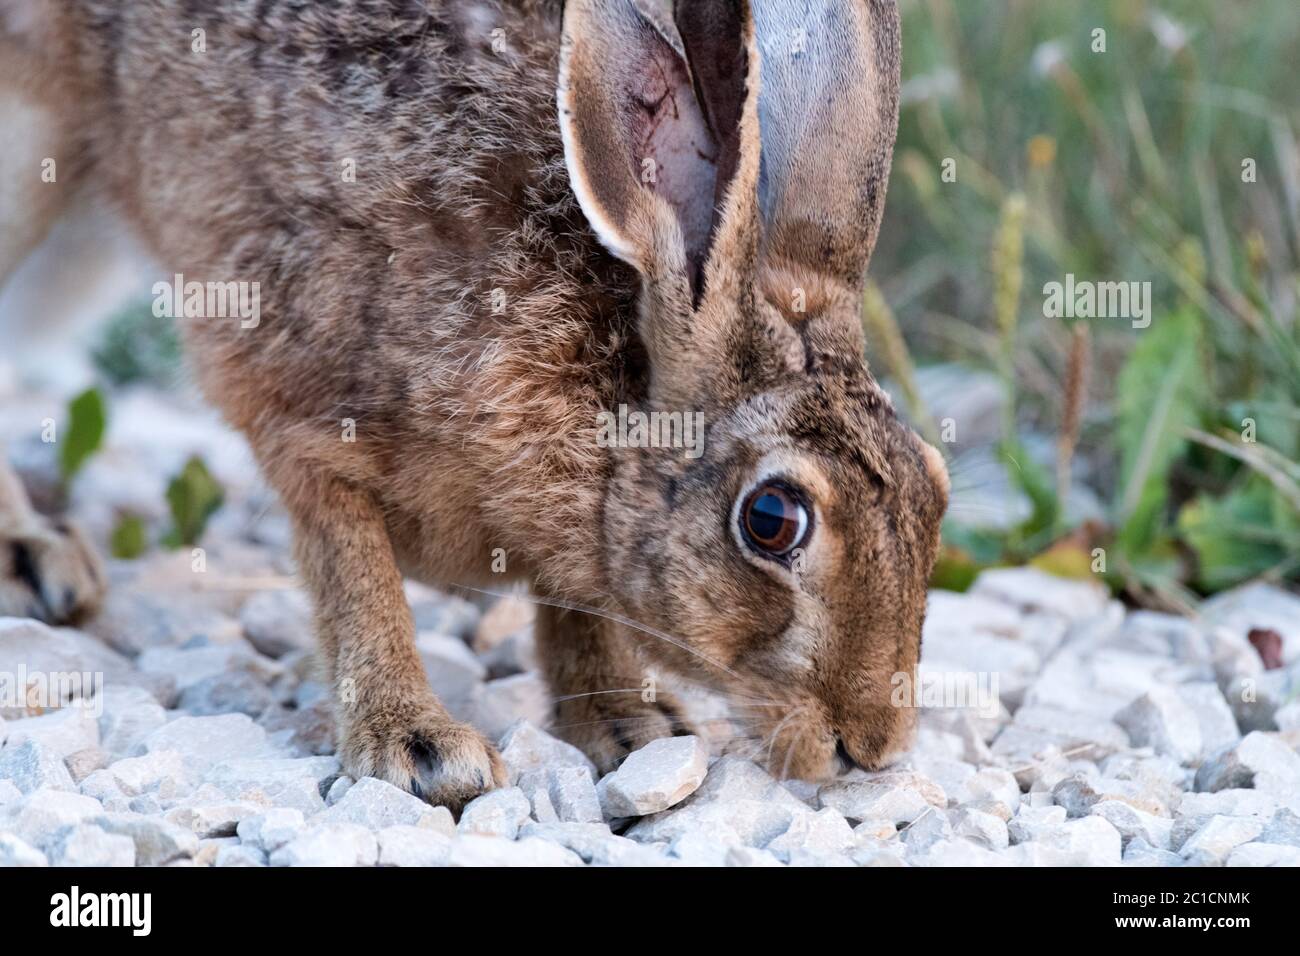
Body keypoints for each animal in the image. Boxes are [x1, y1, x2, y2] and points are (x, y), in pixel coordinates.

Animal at [2, 0, 949, 811]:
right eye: (771, 520)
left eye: (934, 490)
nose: (874, 746)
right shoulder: (298, 396)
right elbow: (351, 564)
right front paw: (418, 747)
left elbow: (569, 606)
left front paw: (629, 724)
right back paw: (33, 556)